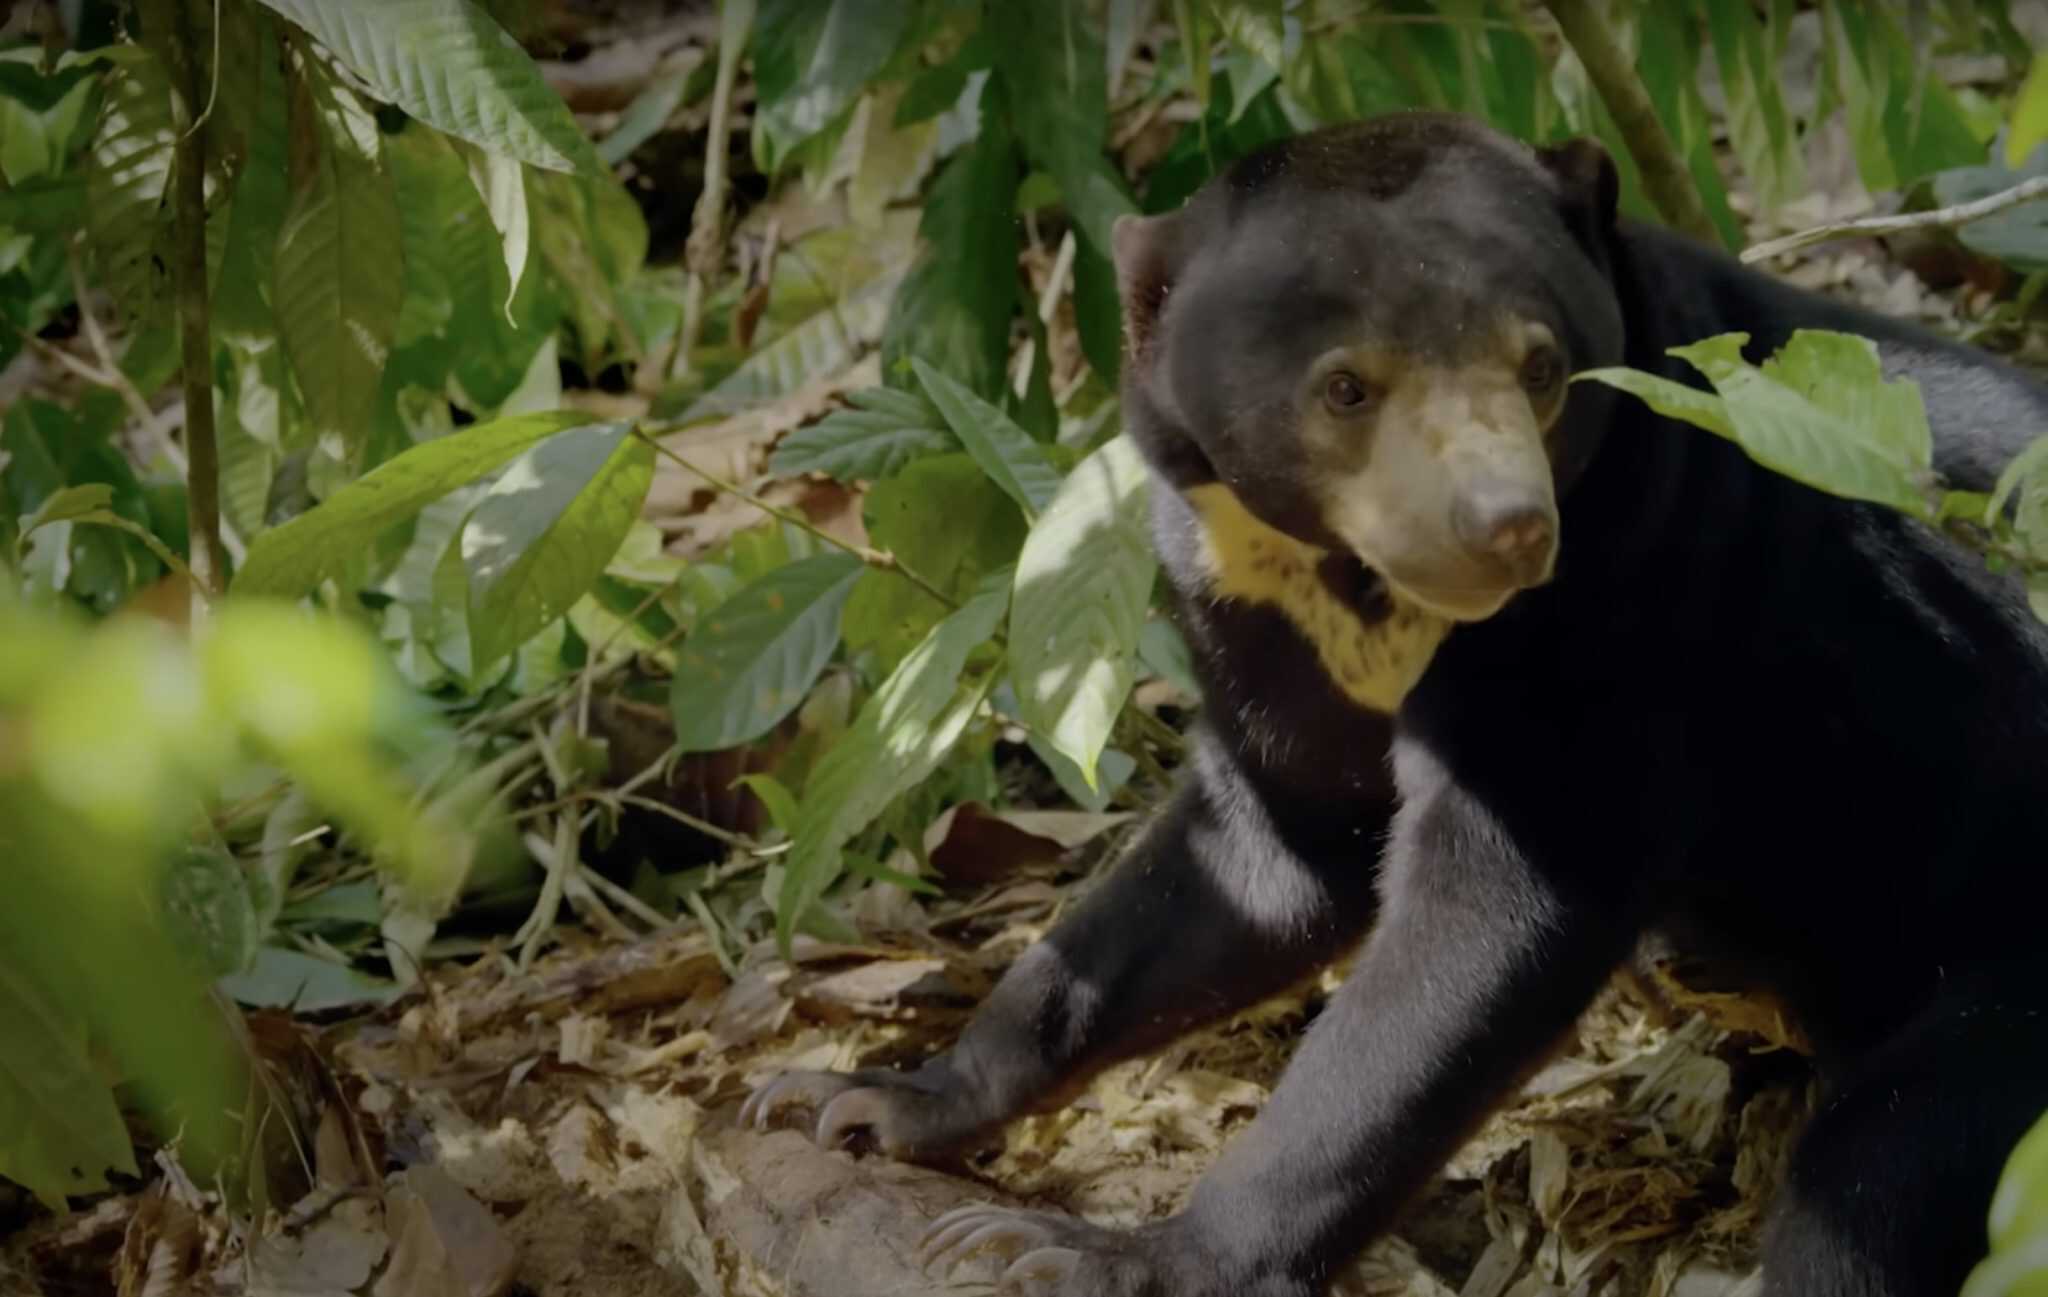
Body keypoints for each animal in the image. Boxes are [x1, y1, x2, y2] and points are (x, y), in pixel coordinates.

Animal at [742, 110, 2048, 1297]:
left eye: (1541, 367)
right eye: (1343, 389)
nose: (1505, 528)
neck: (1352, 595)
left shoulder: (1636, 590)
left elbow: (1479, 932)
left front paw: (1111, 1257)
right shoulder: (1245, 625)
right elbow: (1252, 864)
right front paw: (870, 1099)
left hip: (1991, 1002)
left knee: (1861, 1193)